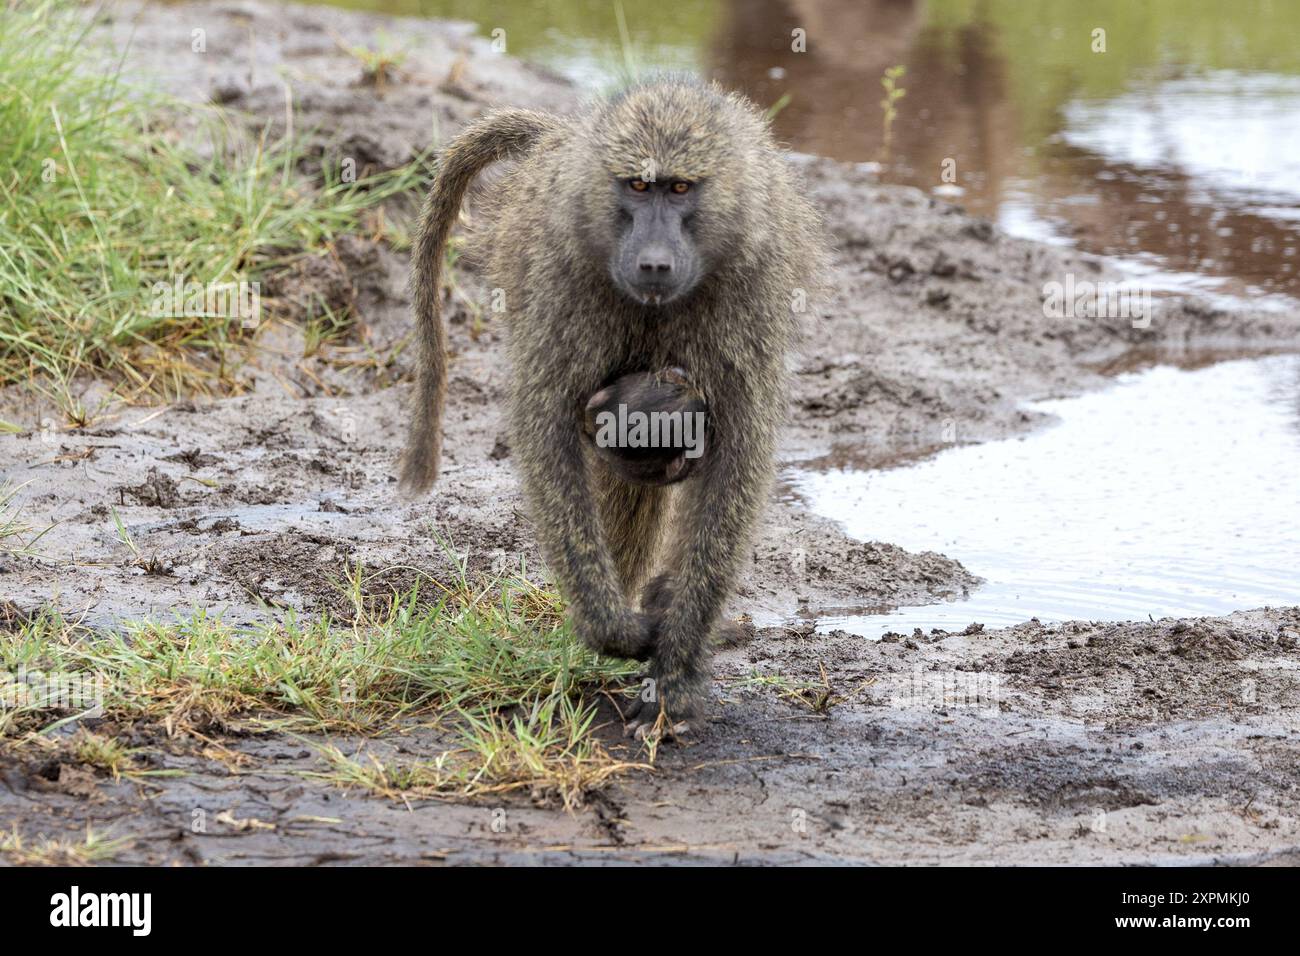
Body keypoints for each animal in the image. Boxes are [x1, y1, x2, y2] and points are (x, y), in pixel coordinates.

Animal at [400, 77, 827, 736]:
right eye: (636, 187)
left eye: (680, 188)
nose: (653, 261)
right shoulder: (565, 282)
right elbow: (548, 434)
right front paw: (618, 630)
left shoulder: (748, 297)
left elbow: (736, 464)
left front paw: (675, 668)